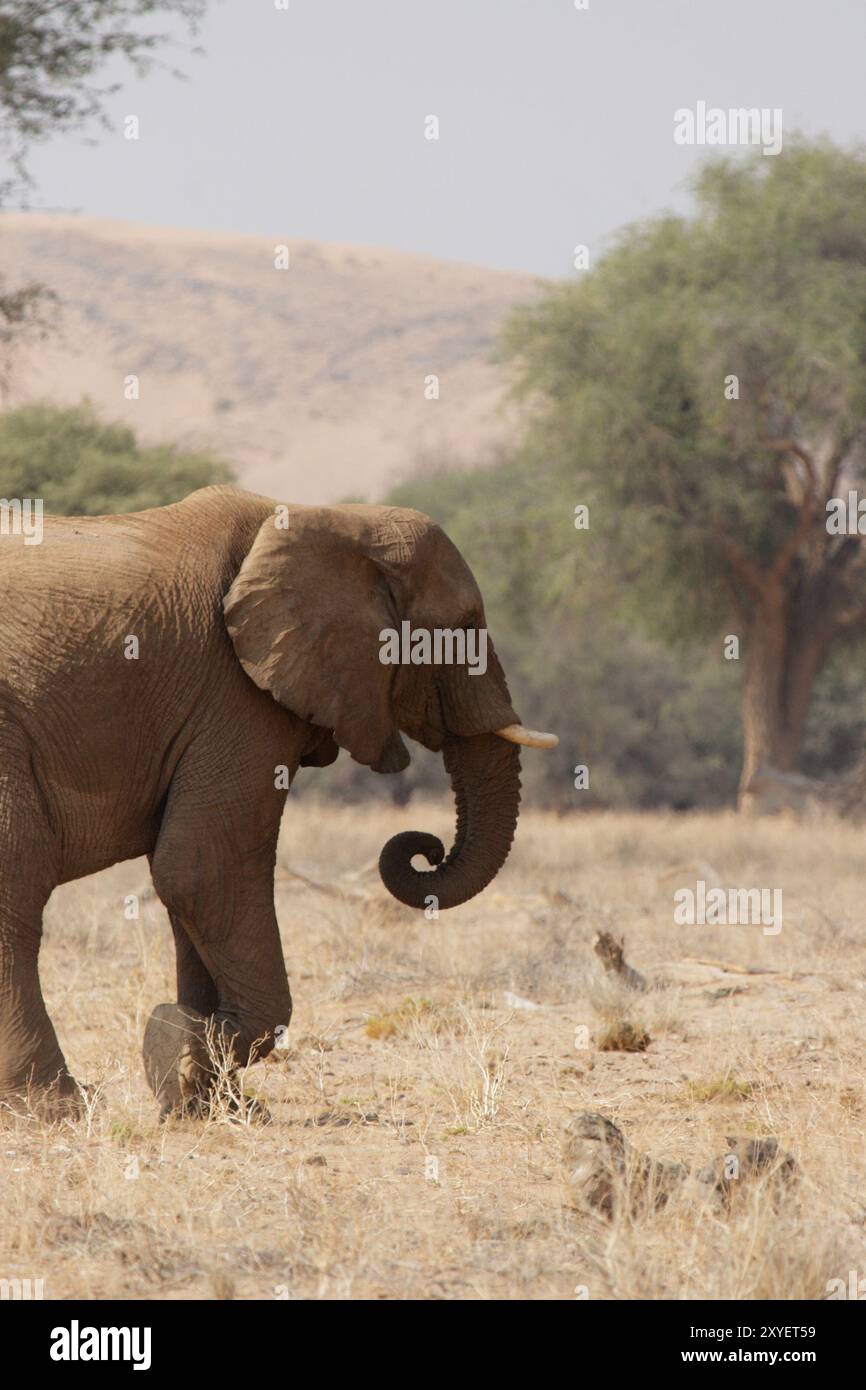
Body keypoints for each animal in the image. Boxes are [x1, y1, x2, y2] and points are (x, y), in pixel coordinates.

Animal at [0, 485, 557, 1117]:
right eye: (462, 626)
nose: (428, 848)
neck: (330, 518)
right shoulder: (233, 693)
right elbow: (202, 870)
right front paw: (177, 1049)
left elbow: (188, 887)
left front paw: (209, 1097)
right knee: (18, 884)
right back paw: (55, 1107)